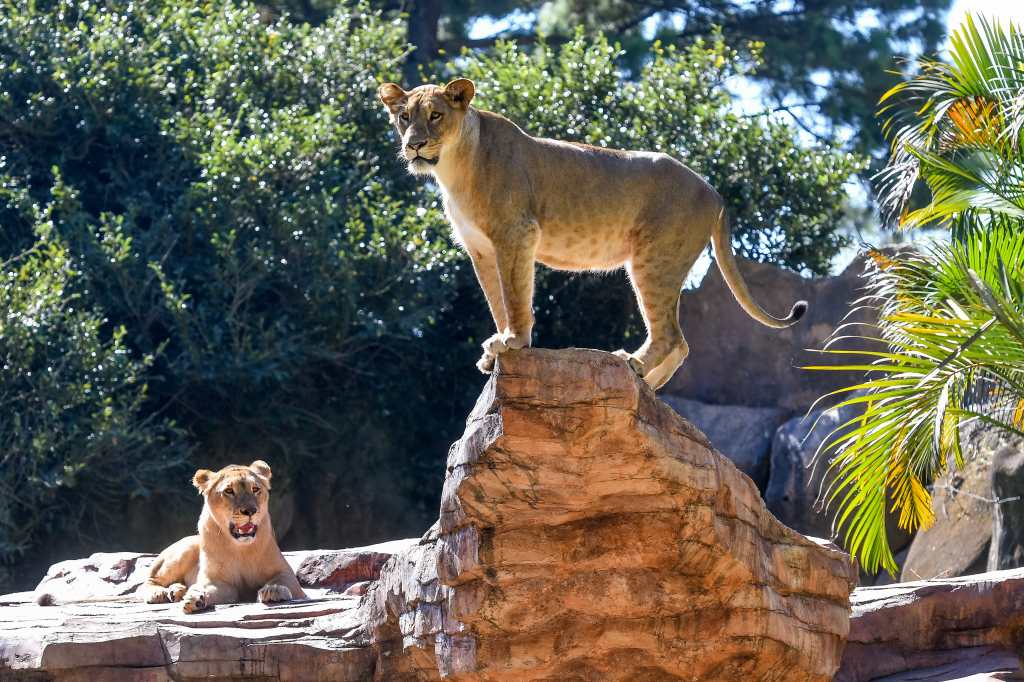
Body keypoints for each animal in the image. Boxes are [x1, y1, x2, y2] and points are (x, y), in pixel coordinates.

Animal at [138, 460, 306, 613]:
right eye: (229, 491)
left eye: (255, 489)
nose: (251, 511)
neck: (241, 548)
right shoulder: (216, 581)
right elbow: (210, 589)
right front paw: (196, 599)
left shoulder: (287, 573)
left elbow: (283, 580)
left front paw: (273, 590)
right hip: (184, 551)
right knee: (148, 581)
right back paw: (160, 593)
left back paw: (177, 590)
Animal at [378, 78, 807, 390]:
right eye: (404, 117)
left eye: (435, 115)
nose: (414, 144)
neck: (453, 168)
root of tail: (714, 191)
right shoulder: (481, 250)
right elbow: (497, 300)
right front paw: (497, 348)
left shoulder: (516, 234)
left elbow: (515, 296)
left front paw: (513, 341)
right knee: (682, 341)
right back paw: (649, 386)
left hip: (654, 260)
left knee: (669, 334)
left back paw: (632, 364)